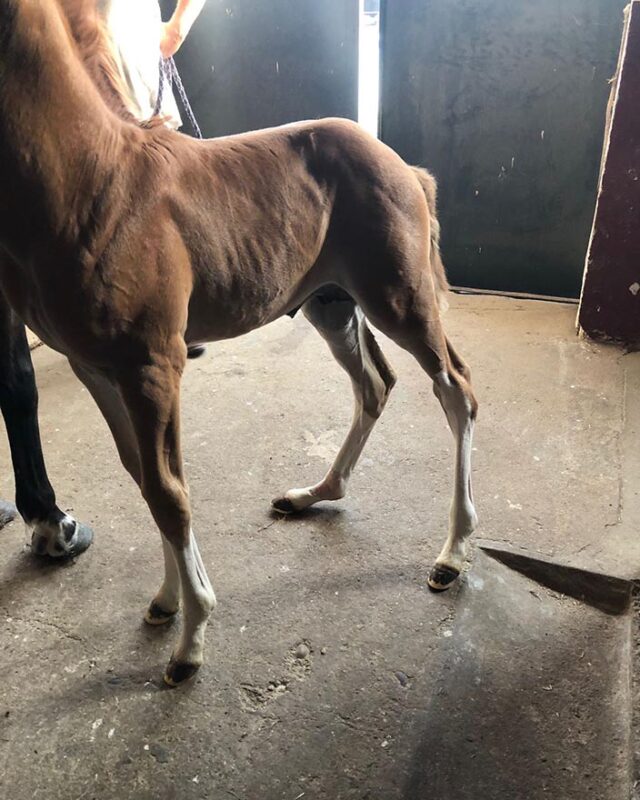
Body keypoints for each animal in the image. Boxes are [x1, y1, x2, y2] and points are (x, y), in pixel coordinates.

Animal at [0, 0, 478, 686]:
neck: (92, 186)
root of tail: (404, 166)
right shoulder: (96, 368)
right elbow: (143, 478)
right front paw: (167, 601)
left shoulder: (152, 367)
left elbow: (169, 494)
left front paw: (191, 637)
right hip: (332, 306)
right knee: (375, 385)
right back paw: (314, 494)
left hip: (400, 301)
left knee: (455, 391)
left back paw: (453, 553)